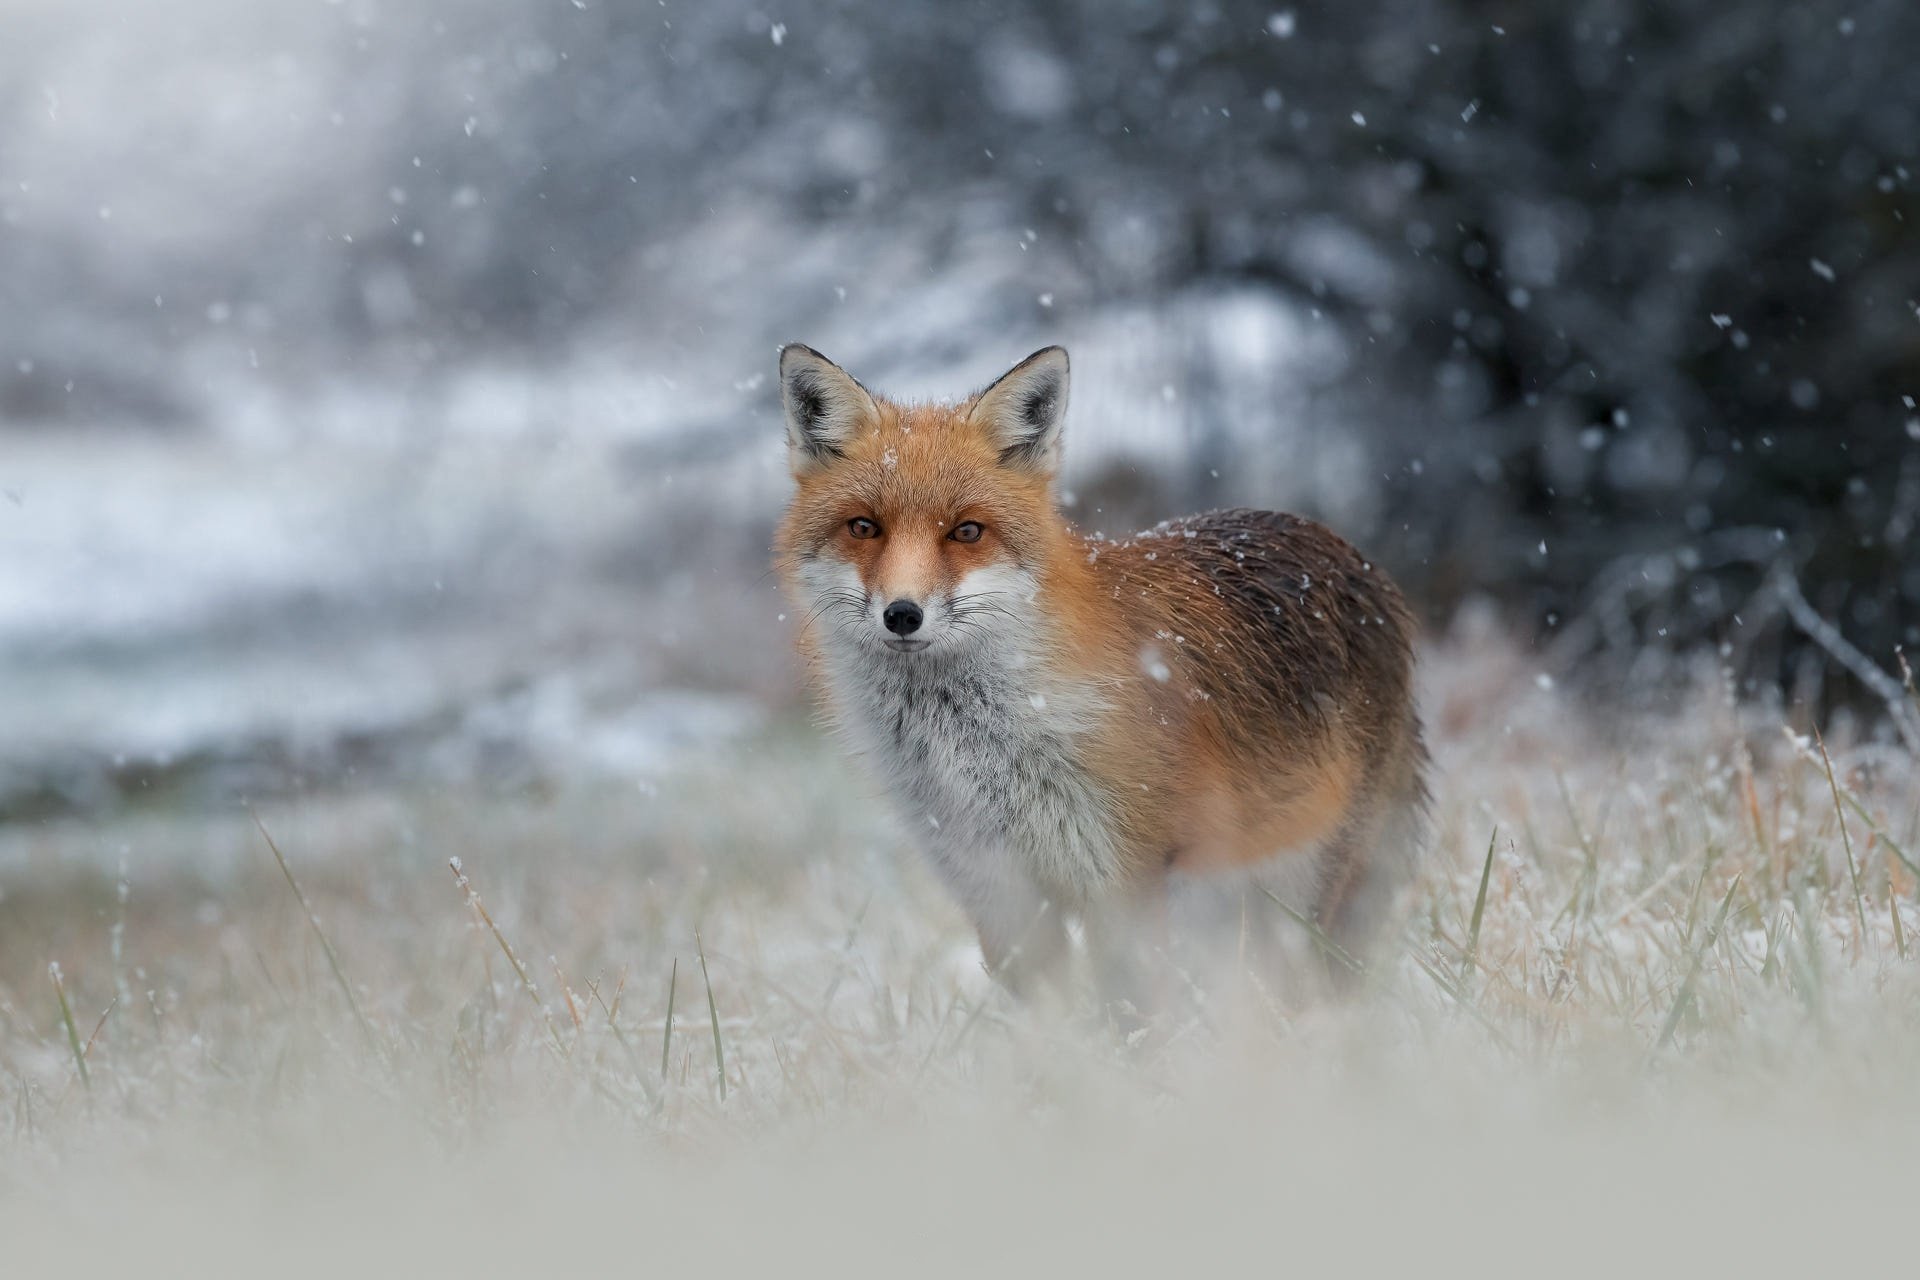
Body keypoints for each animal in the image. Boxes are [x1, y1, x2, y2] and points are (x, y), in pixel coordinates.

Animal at [774, 344, 1429, 999]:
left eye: (966, 531)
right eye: (864, 526)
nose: (902, 614)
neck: (975, 754)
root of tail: (1362, 565)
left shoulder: (1121, 878)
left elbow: (1131, 1016)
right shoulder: (995, 888)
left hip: (1299, 895)